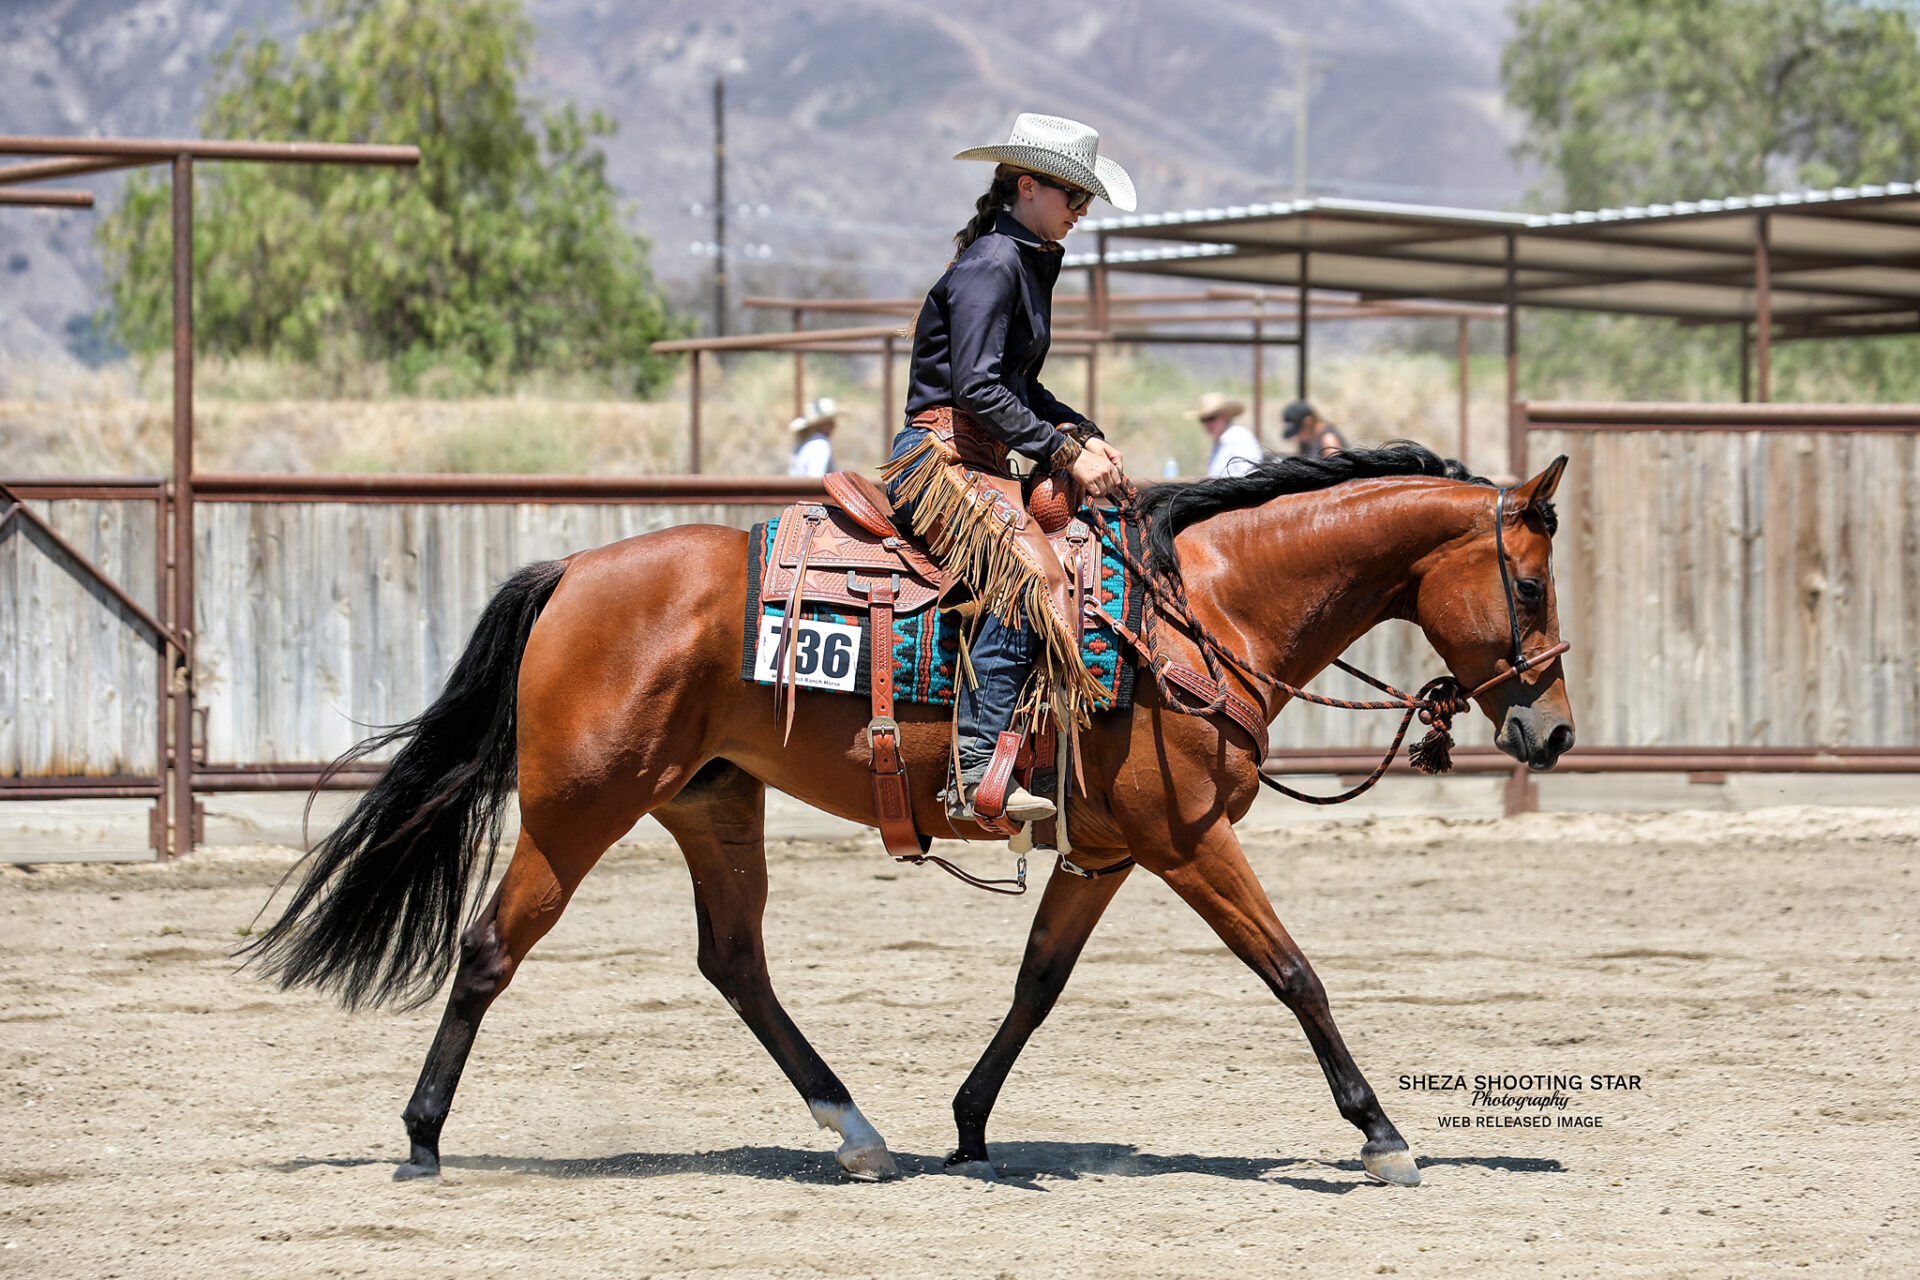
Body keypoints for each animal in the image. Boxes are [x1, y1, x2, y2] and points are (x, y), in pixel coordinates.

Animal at [244, 443, 1575, 1189]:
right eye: (1529, 582)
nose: (1555, 734)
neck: (1202, 608)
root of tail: (575, 570)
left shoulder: (1106, 851)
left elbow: (1038, 981)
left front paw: (972, 1122)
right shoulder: (1190, 841)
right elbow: (1296, 971)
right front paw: (1382, 1133)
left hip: (711, 807)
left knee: (735, 961)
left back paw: (859, 1130)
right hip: (578, 810)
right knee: (489, 949)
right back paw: (422, 1138)